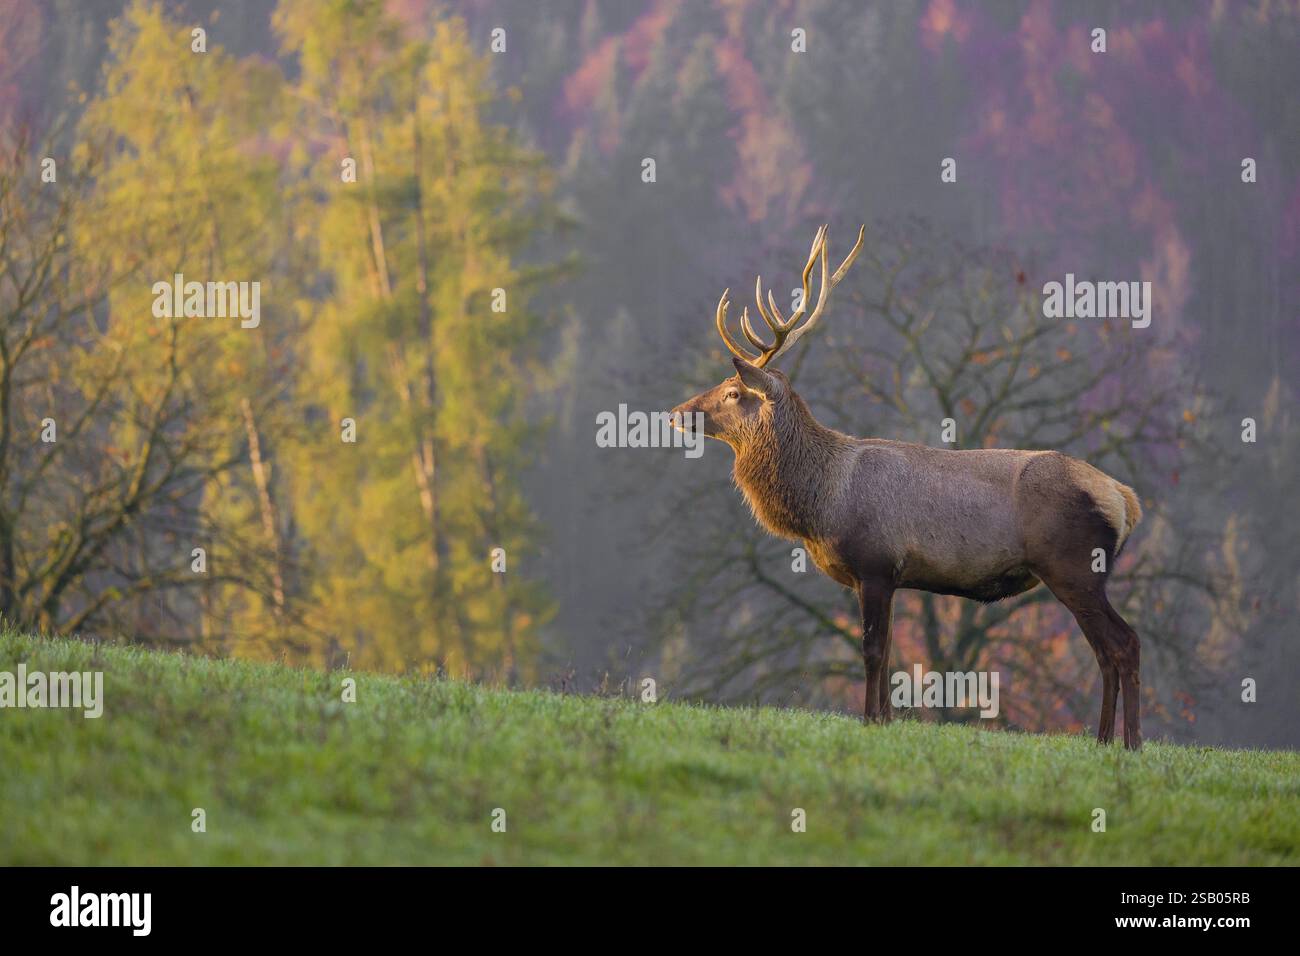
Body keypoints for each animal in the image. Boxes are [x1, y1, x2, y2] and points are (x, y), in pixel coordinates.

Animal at [670, 225, 1145, 749]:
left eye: (734, 392)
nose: (676, 413)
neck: (822, 502)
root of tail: (1126, 500)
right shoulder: (890, 576)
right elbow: (893, 648)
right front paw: (885, 719)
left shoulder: (875, 562)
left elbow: (873, 649)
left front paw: (868, 721)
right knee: (1106, 651)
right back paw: (1103, 740)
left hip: (1074, 567)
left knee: (1125, 643)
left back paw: (1131, 743)